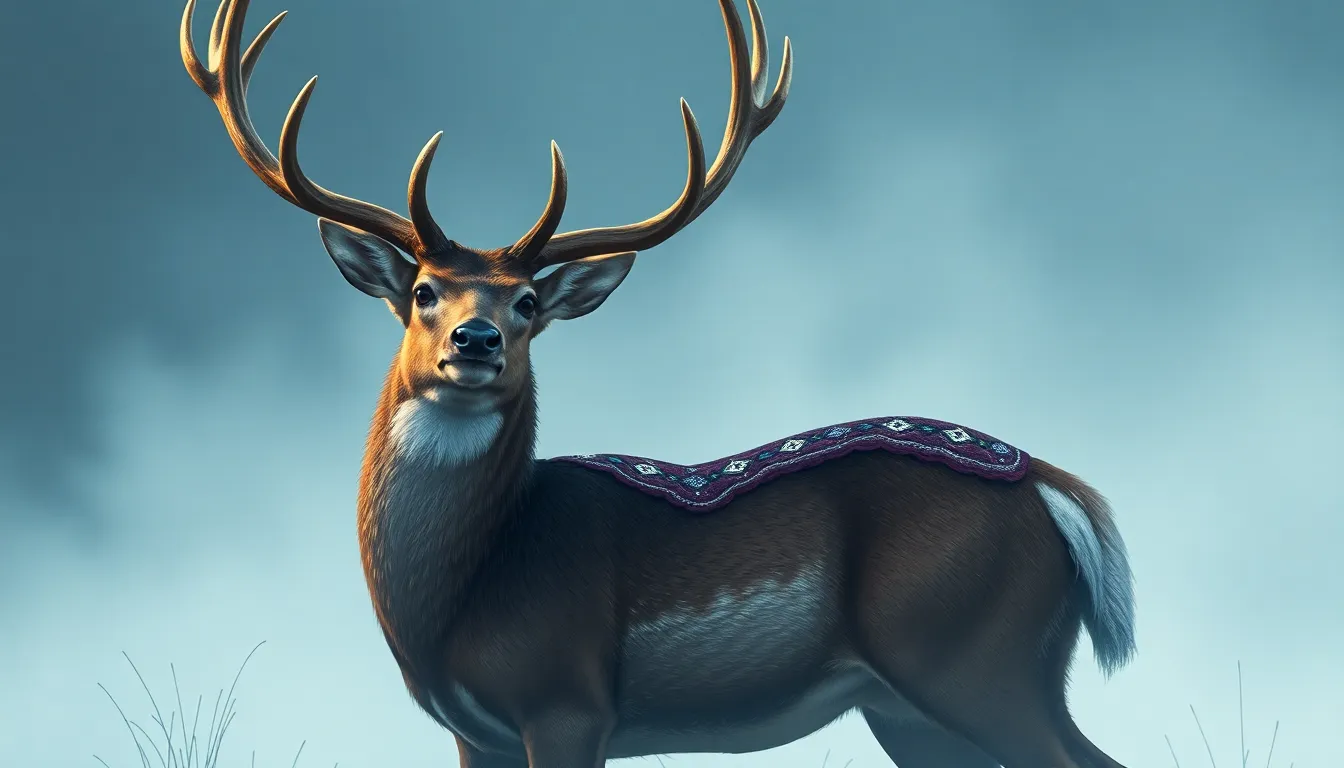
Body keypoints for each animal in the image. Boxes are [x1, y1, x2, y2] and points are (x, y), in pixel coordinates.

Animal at [180, 0, 1137, 766]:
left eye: (528, 303)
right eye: (421, 291)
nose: (475, 339)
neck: (465, 593)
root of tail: (1059, 492)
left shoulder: (567, 698)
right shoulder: (475, 733)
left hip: (971, 653)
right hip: (910, 707)